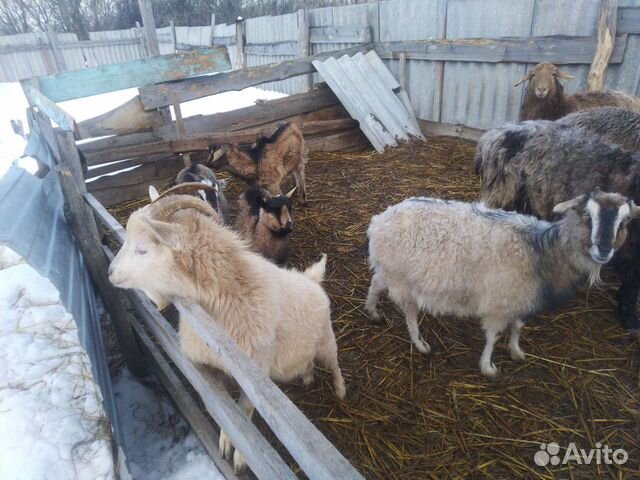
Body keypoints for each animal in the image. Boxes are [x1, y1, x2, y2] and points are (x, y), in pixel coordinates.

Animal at [108, 193, 345, 472]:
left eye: (142, 249)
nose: (110, 273)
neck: (228, 295)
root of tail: (311, 280)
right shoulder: (212, 368)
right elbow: (224, 409)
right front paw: (225, 442)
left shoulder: (257, 374)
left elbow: (246, 410)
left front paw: (242, 457)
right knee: (306, 362)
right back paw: (307, 378)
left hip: (327, 340)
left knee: (334, 364)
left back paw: (340, 390)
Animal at [365, 192, 637, 377]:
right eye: (587, 216)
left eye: (624, 223)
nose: (604, 249)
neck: (541, 251)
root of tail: (378, 220)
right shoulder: (501, 301)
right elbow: (494, 335)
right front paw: (488, 367)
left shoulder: (520, 297)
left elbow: (518, 326)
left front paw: (516, 351)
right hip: (403, 280)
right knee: (410, 314)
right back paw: (420, 344)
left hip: (388, 269)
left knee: (376, 282)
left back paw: (372, 311)